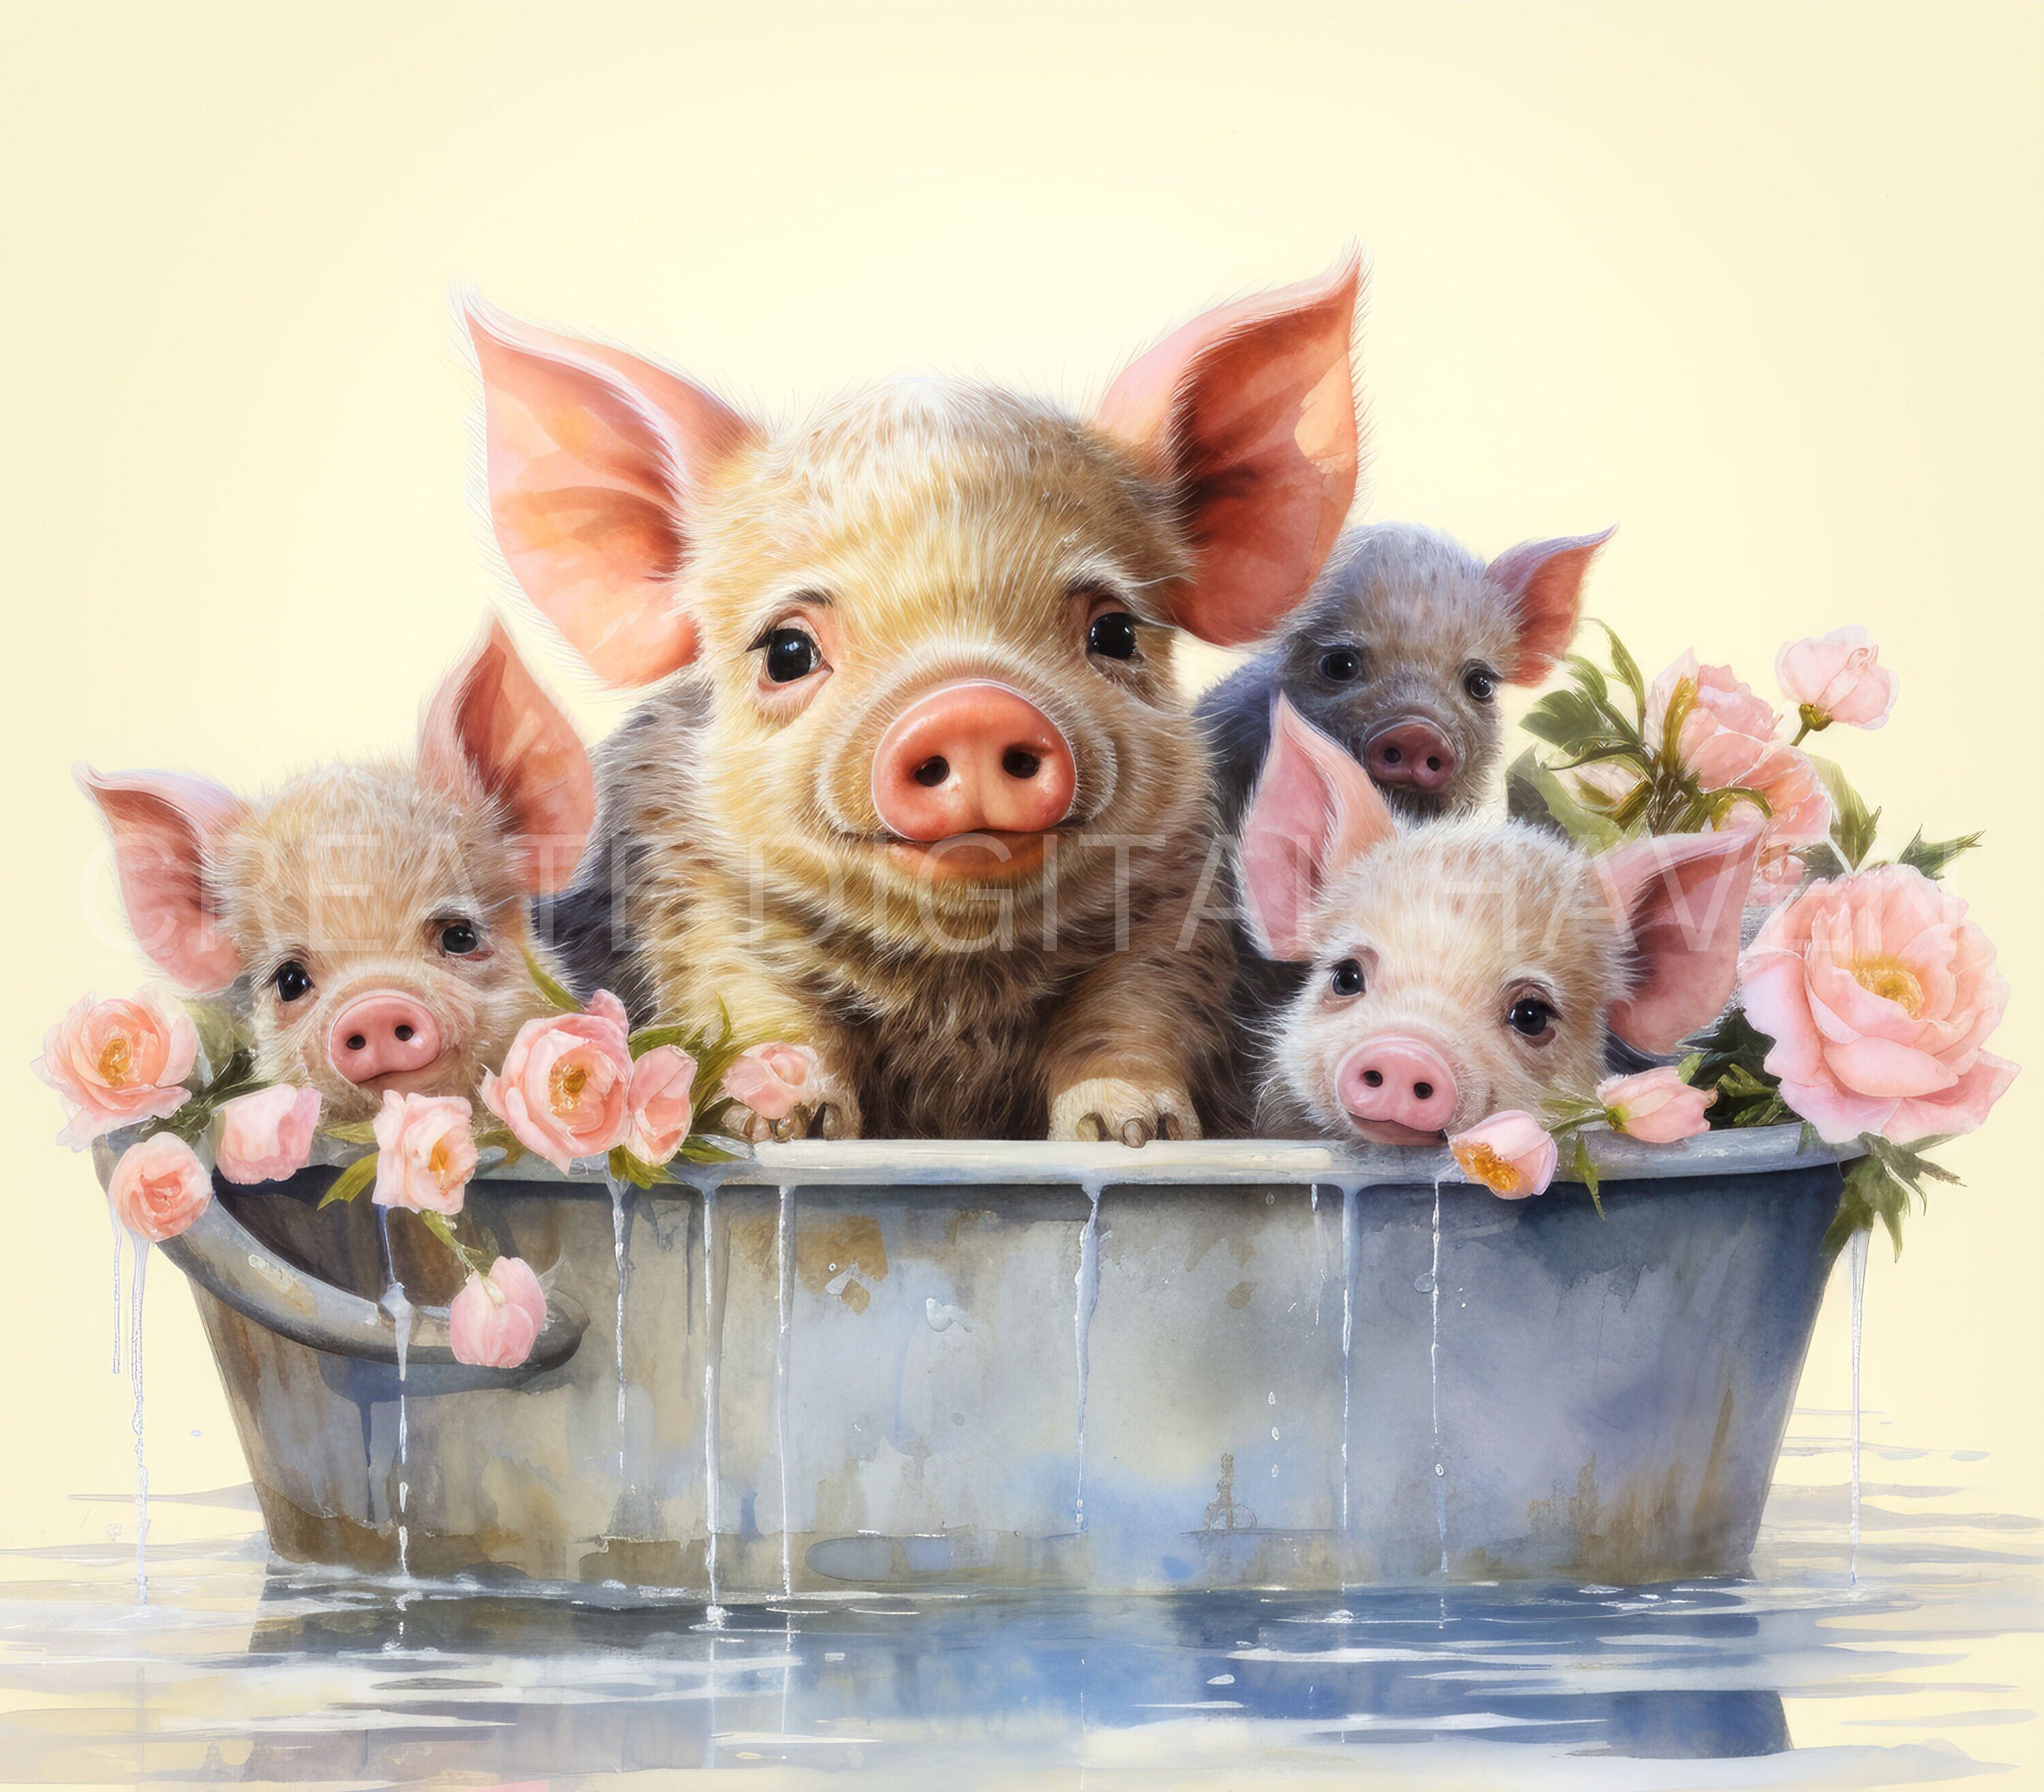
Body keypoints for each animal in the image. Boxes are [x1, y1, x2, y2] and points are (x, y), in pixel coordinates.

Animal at [468, 260, 1365, 1142]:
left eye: (1113, 631)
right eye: (787, 651)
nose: (973, 708)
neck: (952, 981)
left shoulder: (1177, 905)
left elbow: (1130, 1020)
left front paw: (1133, 1130)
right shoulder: (688, 898)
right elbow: (760, 1009)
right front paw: (783, 1126)